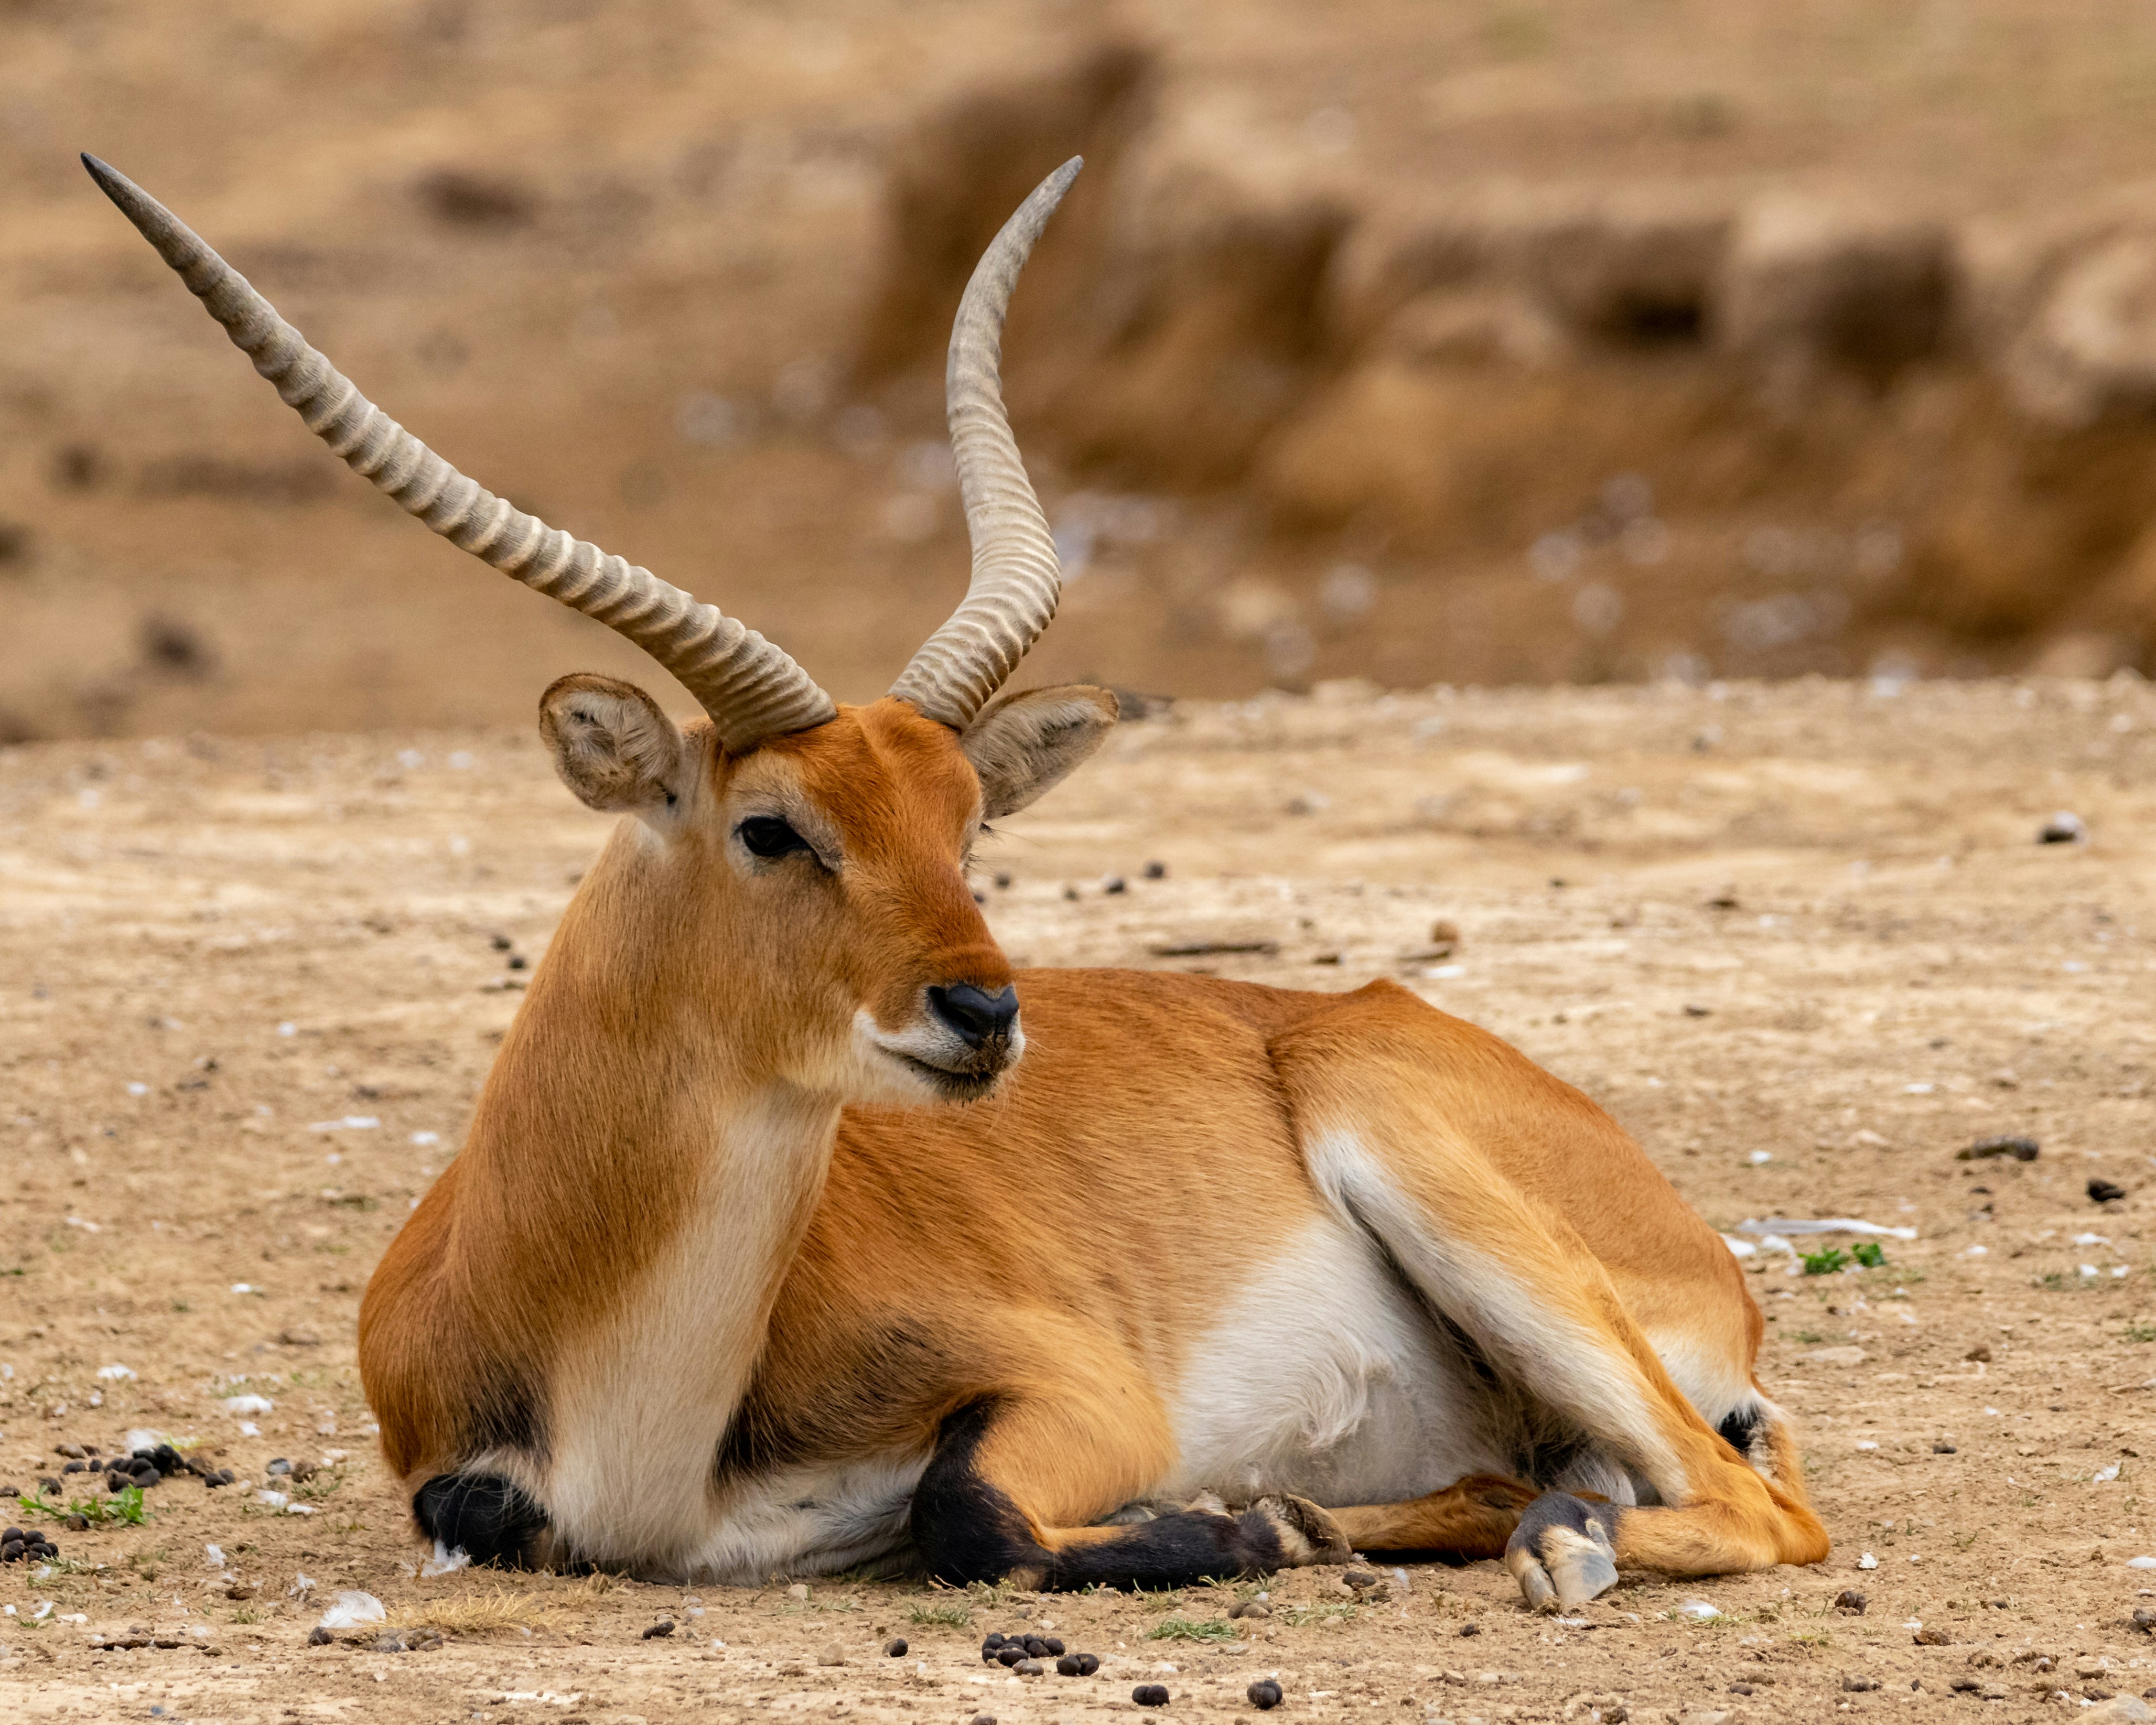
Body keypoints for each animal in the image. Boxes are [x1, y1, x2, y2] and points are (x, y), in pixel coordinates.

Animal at [88, 152, 1830, 1607]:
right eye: (773, 824)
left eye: (964, 819)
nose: (983, 1012)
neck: (616, 1388)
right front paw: (1268, 1519)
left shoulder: (1084, 1391)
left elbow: (967, 1514)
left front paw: (1241, 1525)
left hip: (1443, 1182)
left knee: (1755, 1506)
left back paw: (1515, 1540)